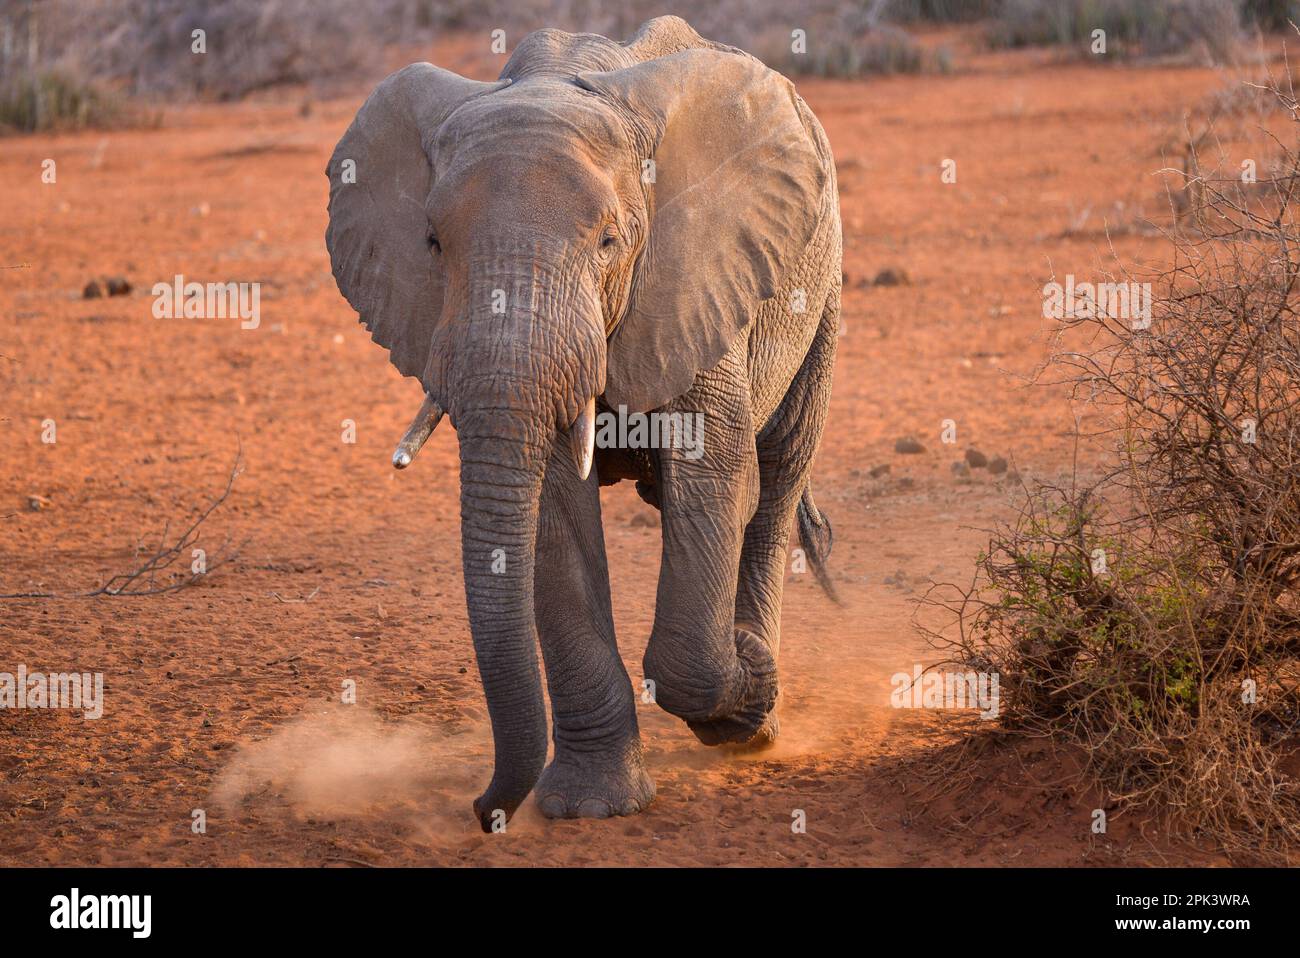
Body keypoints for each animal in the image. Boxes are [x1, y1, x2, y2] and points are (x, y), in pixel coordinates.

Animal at [325, 15, 841, 831]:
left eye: (609, 241)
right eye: (433, 244)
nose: (484, 809)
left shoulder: (694, 275)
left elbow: (717, 480)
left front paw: (746, 687)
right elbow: (551, 518)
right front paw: (591, 808)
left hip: (820, 291)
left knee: (780, 473)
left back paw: (759, 710)